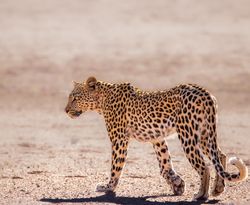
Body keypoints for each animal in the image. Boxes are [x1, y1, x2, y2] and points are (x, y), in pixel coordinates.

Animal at [65, 76, 248, 200]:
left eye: (75, 97)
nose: (66, 110)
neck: (102, 100)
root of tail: (206, 93)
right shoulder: (157, 139)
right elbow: (165, 164)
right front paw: (177, 183)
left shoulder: (119, 139)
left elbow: (116, 165)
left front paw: (108, 187)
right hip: (205, 134)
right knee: (220, 156)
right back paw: (218, 189)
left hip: (188, 135)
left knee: (204, 166)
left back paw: (200, 195)